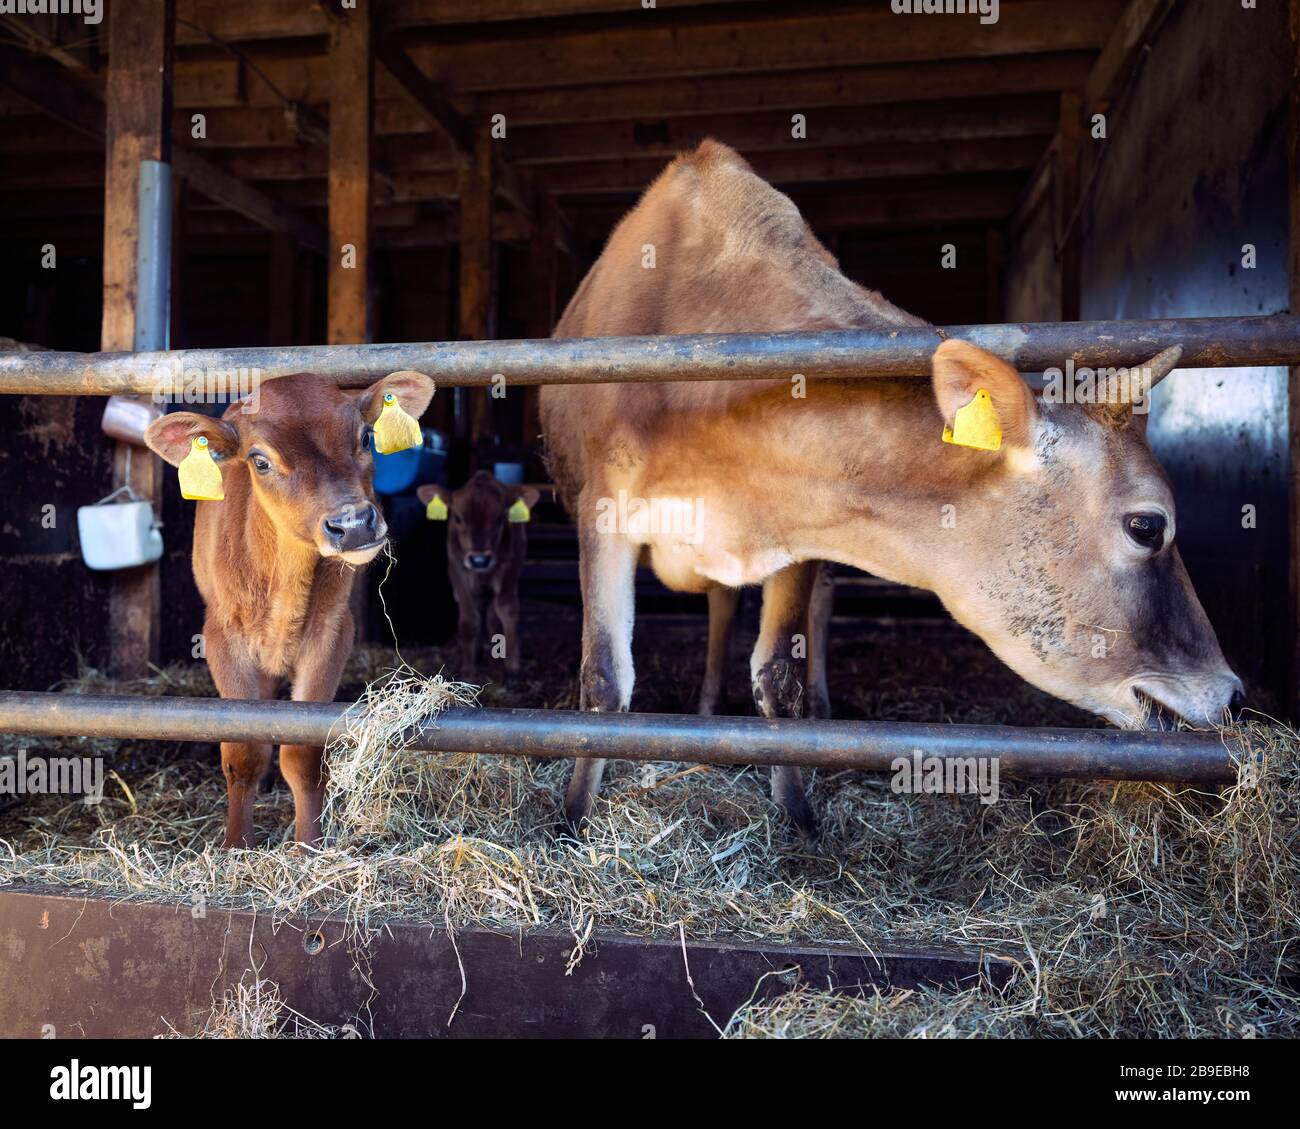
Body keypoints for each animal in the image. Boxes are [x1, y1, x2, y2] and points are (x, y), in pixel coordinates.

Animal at [144, 370, 436, 848]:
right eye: (259, 461)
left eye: (366, 435)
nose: (353, 524)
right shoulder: (222, 636)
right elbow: (244, 749)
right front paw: (236, 847)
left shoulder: (332, 633)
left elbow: (303, 750)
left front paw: (308, 849)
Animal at [417, 470, 539, 681]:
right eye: (458, 518)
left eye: (499, 518)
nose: (479, 560)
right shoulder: (457, 571)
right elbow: (469, 620)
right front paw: (468, 672)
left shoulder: (508, 570)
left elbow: (504, 610)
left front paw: (511, 667)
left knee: (493, 617)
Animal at [540, 139, 1241, 838]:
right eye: (1147, 526)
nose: (1233, 692)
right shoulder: (601, 514)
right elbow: (603, 680)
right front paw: (574, 818)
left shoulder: (801, 536)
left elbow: (781, 679)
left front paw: (799, 821)